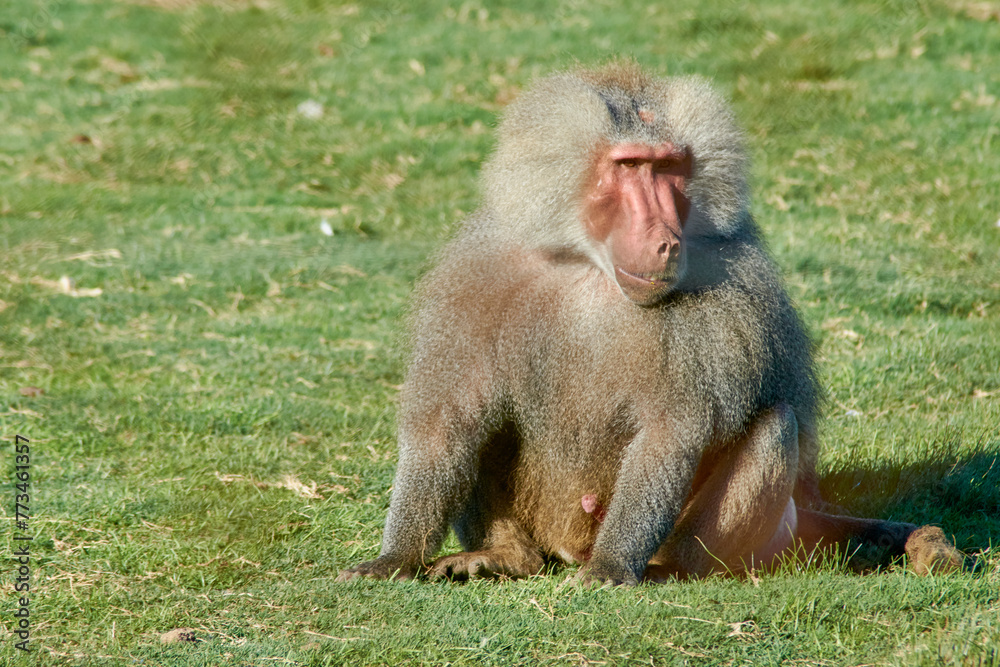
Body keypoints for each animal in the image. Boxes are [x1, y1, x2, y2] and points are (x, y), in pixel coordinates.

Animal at [337, 62, 962, 586]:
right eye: (630, 166)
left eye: (669, 167)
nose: (665, 241)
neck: (593, 268)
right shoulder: (477, 277)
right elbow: (448, 422)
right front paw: (394, 558)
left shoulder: (731, 289)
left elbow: (672, 431)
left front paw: (613, 567)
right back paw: (504, 557)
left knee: (774, 426)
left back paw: (667, 566)